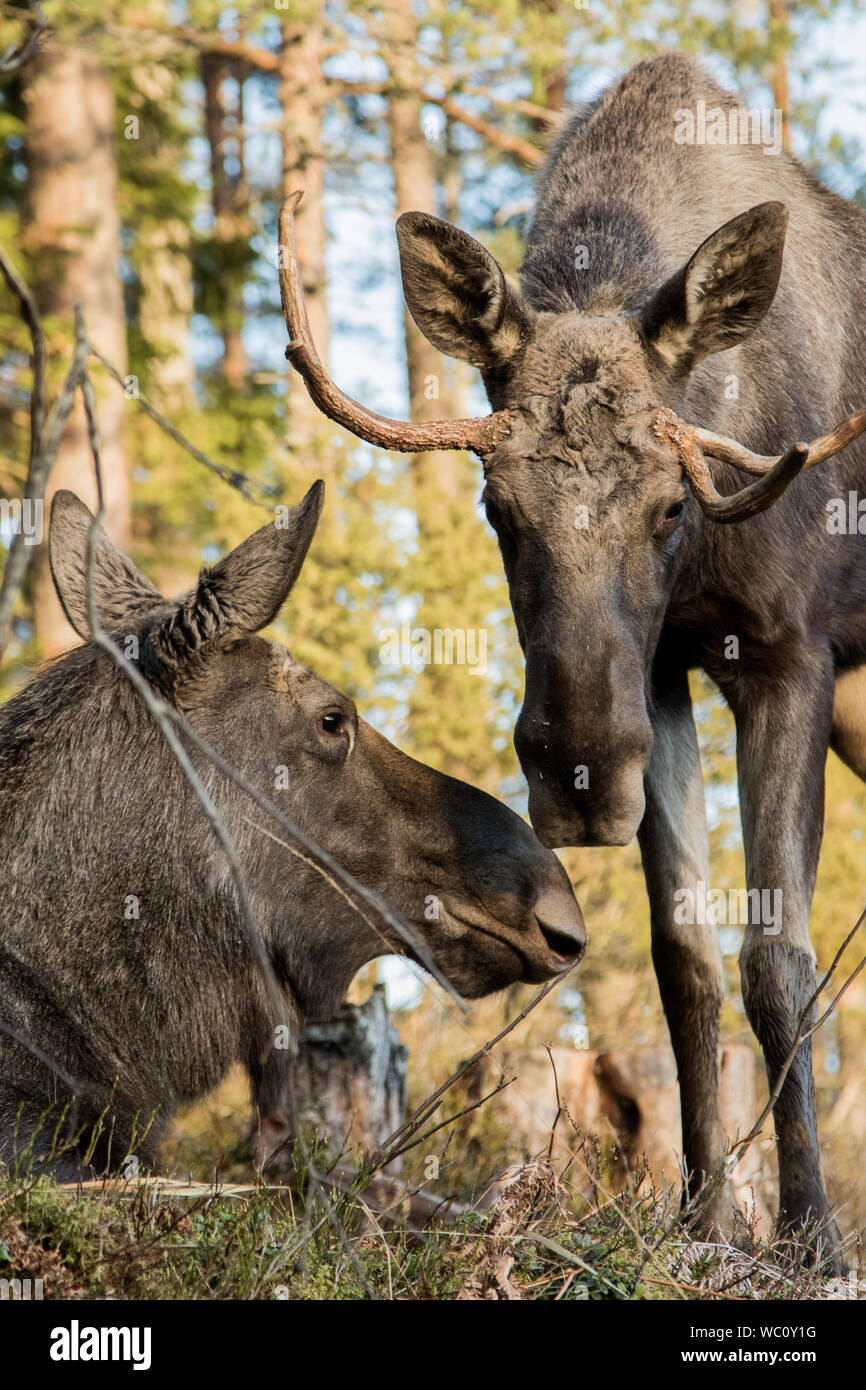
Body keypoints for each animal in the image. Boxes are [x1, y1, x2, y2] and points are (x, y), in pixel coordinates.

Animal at [278, 53, 866, 1269]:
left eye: (671, 503)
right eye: (498, 508)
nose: (578, 775)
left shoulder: (789, 650)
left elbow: (776, 960)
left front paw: (813, 1237)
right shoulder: (666, 672)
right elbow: (685, 958)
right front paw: (703, 1215)